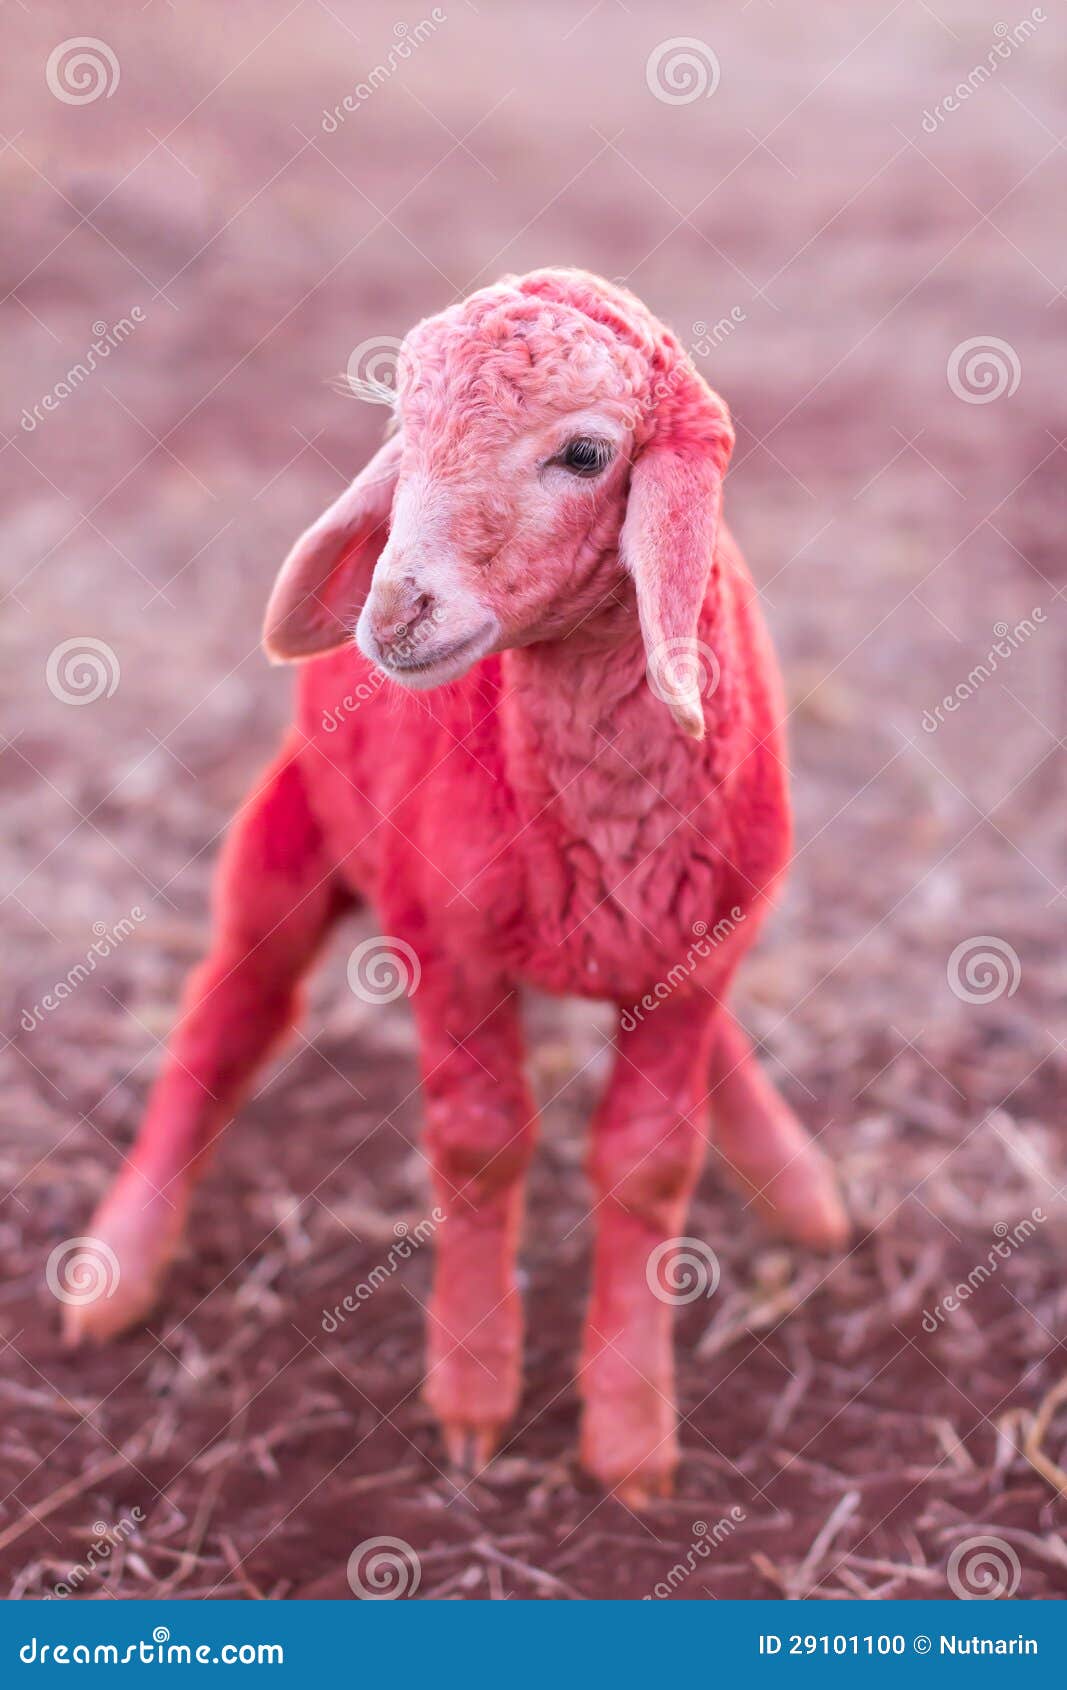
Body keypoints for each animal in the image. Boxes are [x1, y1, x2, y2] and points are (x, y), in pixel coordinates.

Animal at [68, 268, 848, 1504]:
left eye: (584, 455)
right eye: (405, 430)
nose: (392, 611)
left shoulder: (690, 958)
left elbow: (648, 1164)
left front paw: (629, 1439)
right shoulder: (450, 945)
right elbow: (480, 1143)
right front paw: (475, 1395)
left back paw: (797, 1187)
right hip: (287, 838)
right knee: (228, 1014)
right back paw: (118, 1263)